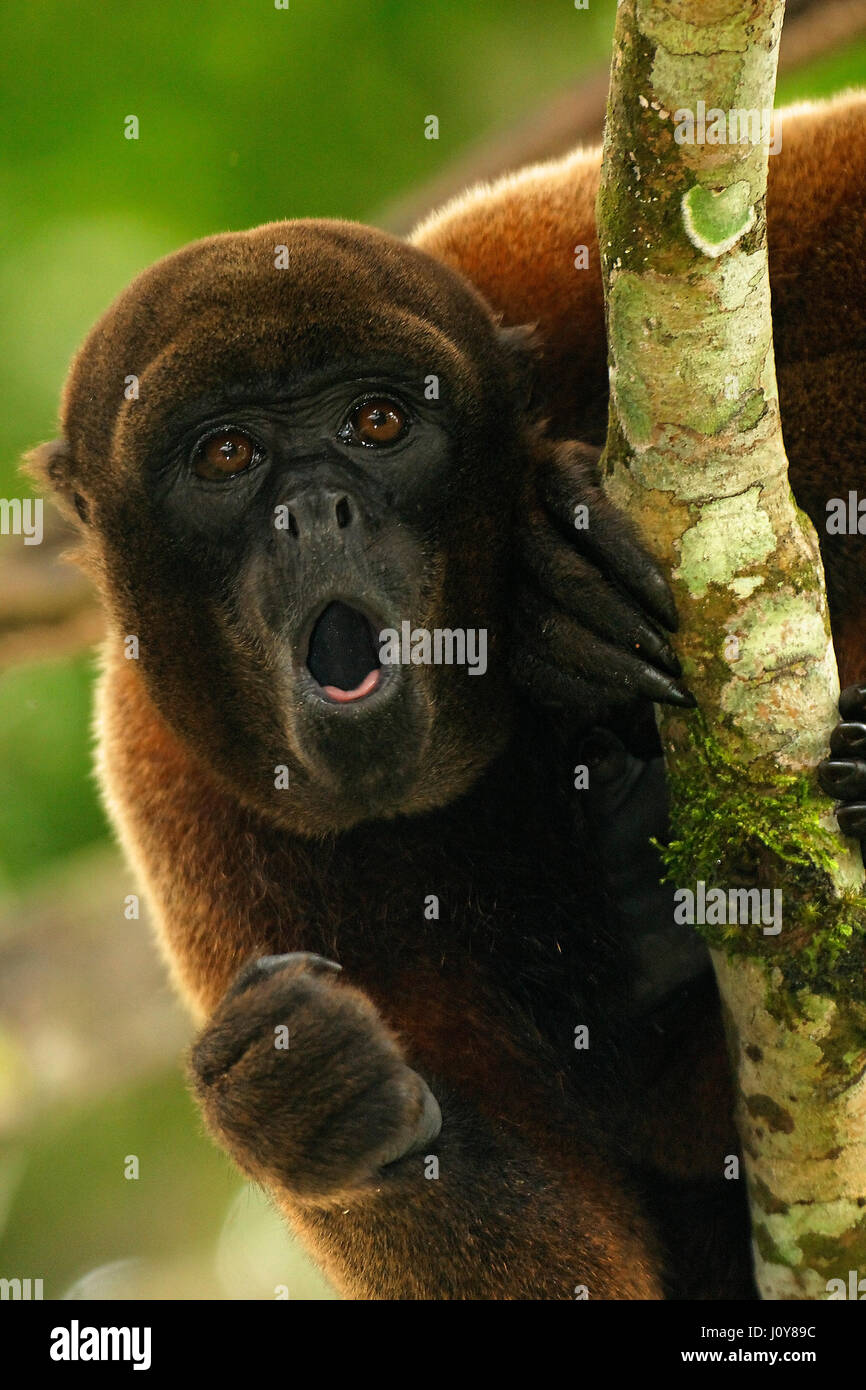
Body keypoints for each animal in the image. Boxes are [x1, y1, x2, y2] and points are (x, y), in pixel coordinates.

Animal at [27, 89, 864, 1300]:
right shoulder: (188, 810)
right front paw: (296, 1103)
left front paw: (547, 578)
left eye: (378, 424)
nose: (315, 511)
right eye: (226, 456)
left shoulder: (533, 259)